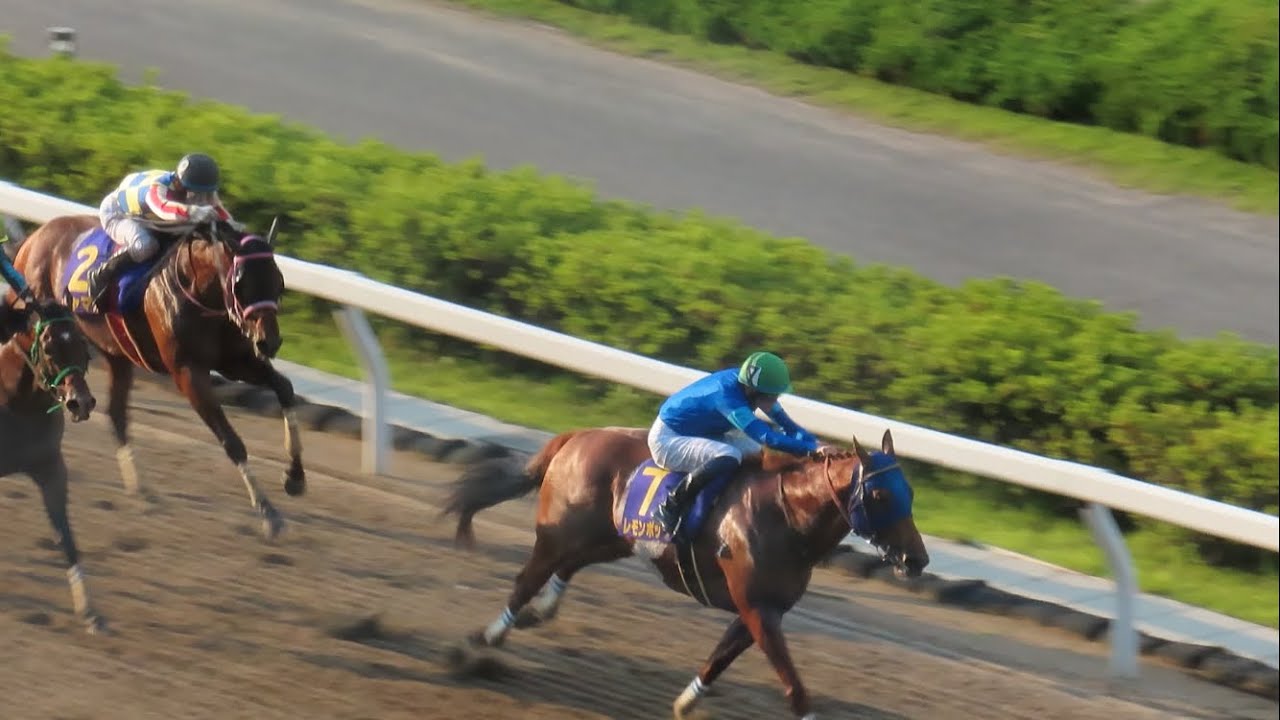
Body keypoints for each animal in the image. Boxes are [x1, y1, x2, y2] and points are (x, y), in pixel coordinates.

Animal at [0, 296, 103, 632]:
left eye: (83, 345)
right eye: (48, 348)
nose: (79, 403)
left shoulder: (51, 468)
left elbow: (65, 535)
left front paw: (90, 613)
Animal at [14, 213, 304, 541]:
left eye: (278, 282)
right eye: (241, 284)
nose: (270, 342)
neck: (200, 292)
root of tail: (35, 236)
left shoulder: (235, 361)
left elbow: (284, 388)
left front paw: (294, 477)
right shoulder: (188, 373)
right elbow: (232, 441)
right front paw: (268, 511)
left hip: (115, 353)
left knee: (116, 414)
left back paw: (141, 489)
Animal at [442, 425, 929, 719]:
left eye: (910, 492)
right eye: (881, 494)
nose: (917, 560)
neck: (787, 515)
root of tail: (577, 435)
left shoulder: (760, 611)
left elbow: (719, 659)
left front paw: (684, 703)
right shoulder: (758, 608)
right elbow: (793, 685)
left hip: (616, 538)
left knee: (569, 566)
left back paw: (537, 614)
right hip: (559, 532)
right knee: (527, 580)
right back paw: (484, 639)